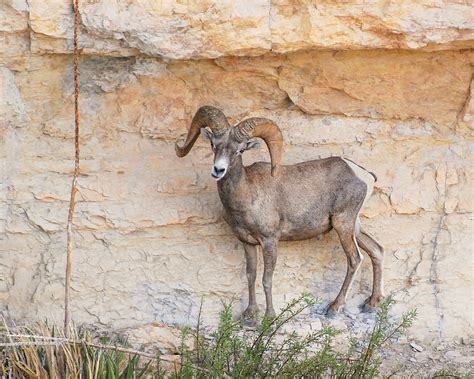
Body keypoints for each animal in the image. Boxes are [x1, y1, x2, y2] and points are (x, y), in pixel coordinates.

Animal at [176, 105, 384, 320]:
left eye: (239, 150)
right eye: (213, 145)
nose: (218, 170)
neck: (247, 192)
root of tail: (364, 175)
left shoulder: (269, 241)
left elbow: (266, 279)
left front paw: (269, 317)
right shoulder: (247, 242)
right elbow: (251, 275)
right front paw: (250, 315)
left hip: (343, 225)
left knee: (355, 259)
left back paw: (335, 307)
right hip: (354, 227)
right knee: (377, 250)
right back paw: (372, 304)